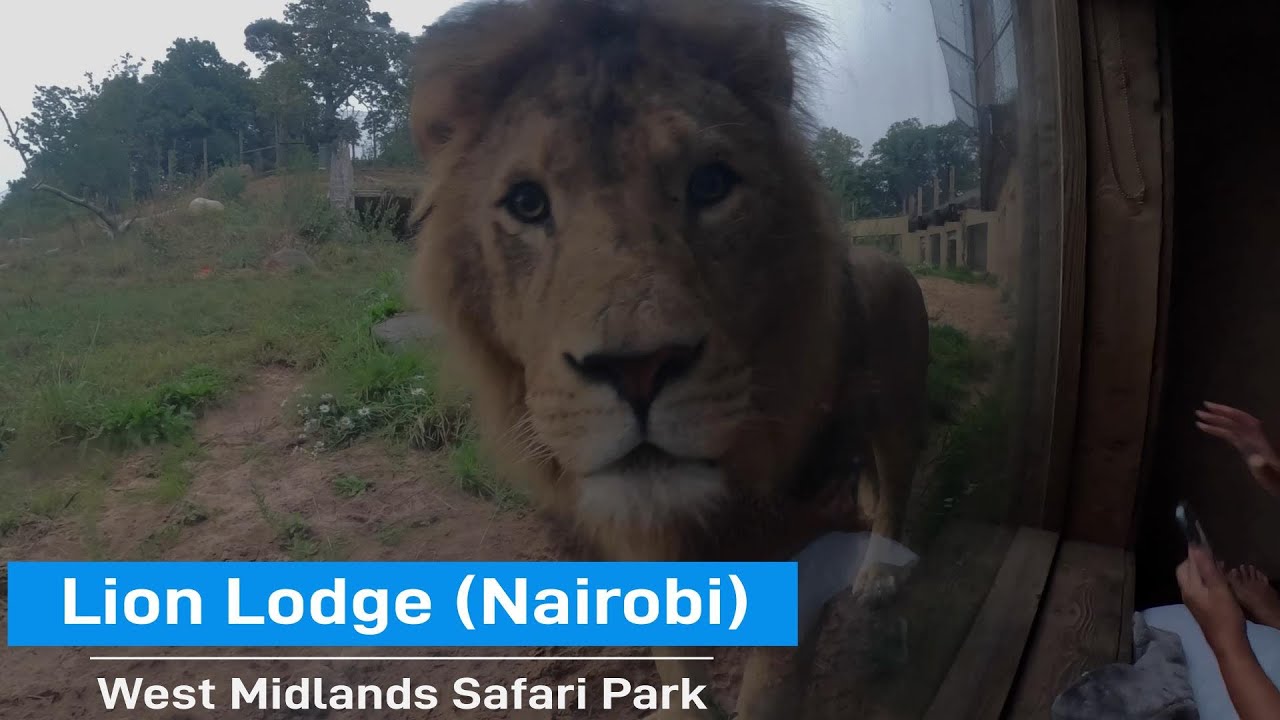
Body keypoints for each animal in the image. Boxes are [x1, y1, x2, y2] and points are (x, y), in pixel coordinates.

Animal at [408, 0, 930, 716]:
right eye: (527, 203)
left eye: (710, 184)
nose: (638, 370)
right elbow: (677, 669)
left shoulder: (800, 537)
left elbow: (768, 693)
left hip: (900, 407)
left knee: (897, 486)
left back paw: (877, 573)